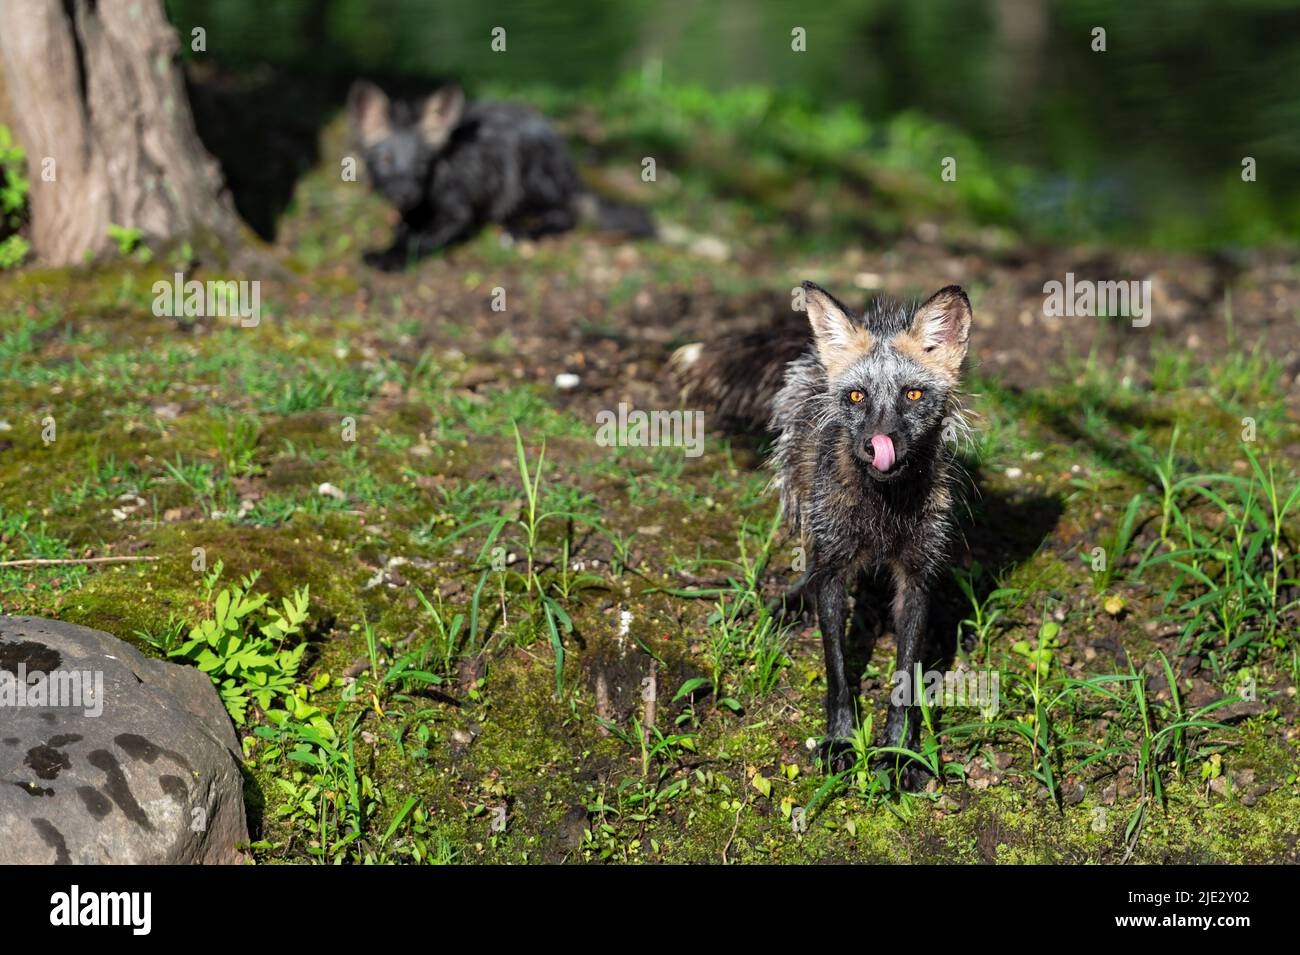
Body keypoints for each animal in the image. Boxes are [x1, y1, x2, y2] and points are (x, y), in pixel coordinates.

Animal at [348, 81, 654, 270]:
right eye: (386, 161)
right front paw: (389, 249)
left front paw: (392, 260)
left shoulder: (459, 212)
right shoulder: (412, 214)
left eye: (423, 163)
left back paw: (521, 232)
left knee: (566, 214)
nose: (404, 194)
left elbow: (420, 241)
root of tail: (569, 168)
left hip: (529, 171)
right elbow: (403, 233)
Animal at [674, 281, 973, 778]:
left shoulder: (916, 575)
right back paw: (792, 599)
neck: (883, 511)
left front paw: (898, 750)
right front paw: (840, 739)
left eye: (913, 395)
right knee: (807, 559)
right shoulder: (834, 570)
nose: (878, 445)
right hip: (800, 495)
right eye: (856, 397)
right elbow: (836, 667)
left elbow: (906, 674)